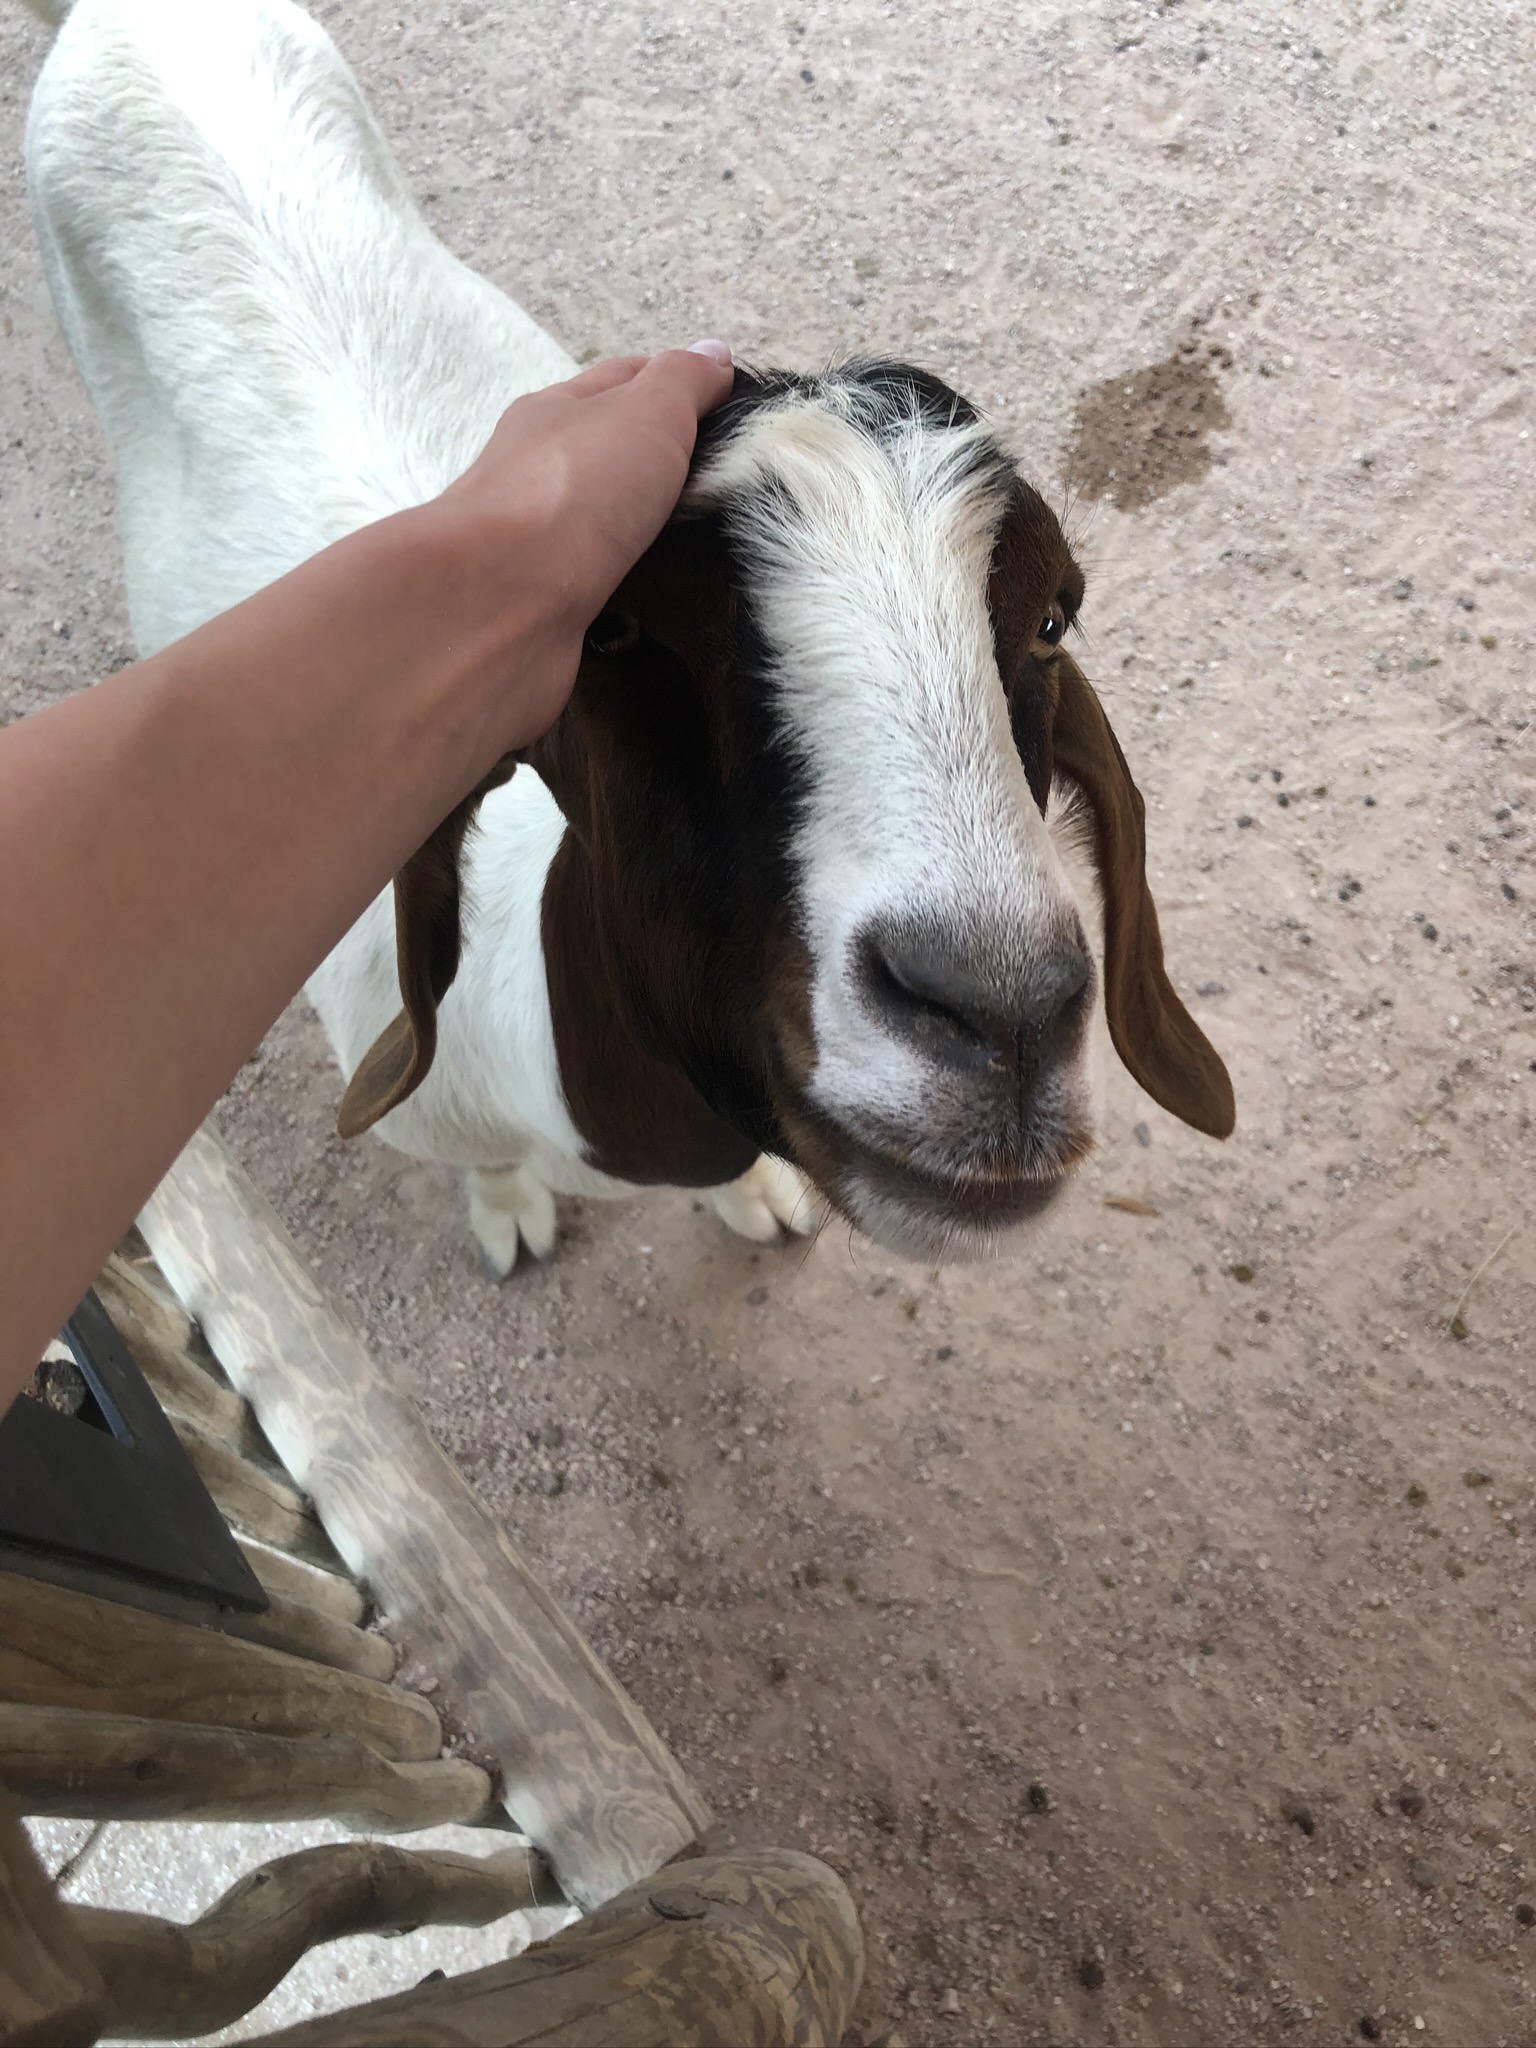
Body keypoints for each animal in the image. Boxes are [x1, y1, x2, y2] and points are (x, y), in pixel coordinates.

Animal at [24, 0, 1234, 1274]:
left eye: (1052, 615)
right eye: (615, 631)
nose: (1002, 1011)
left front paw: (752, 1195)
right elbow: (488, 1168)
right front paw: (509, 1213)